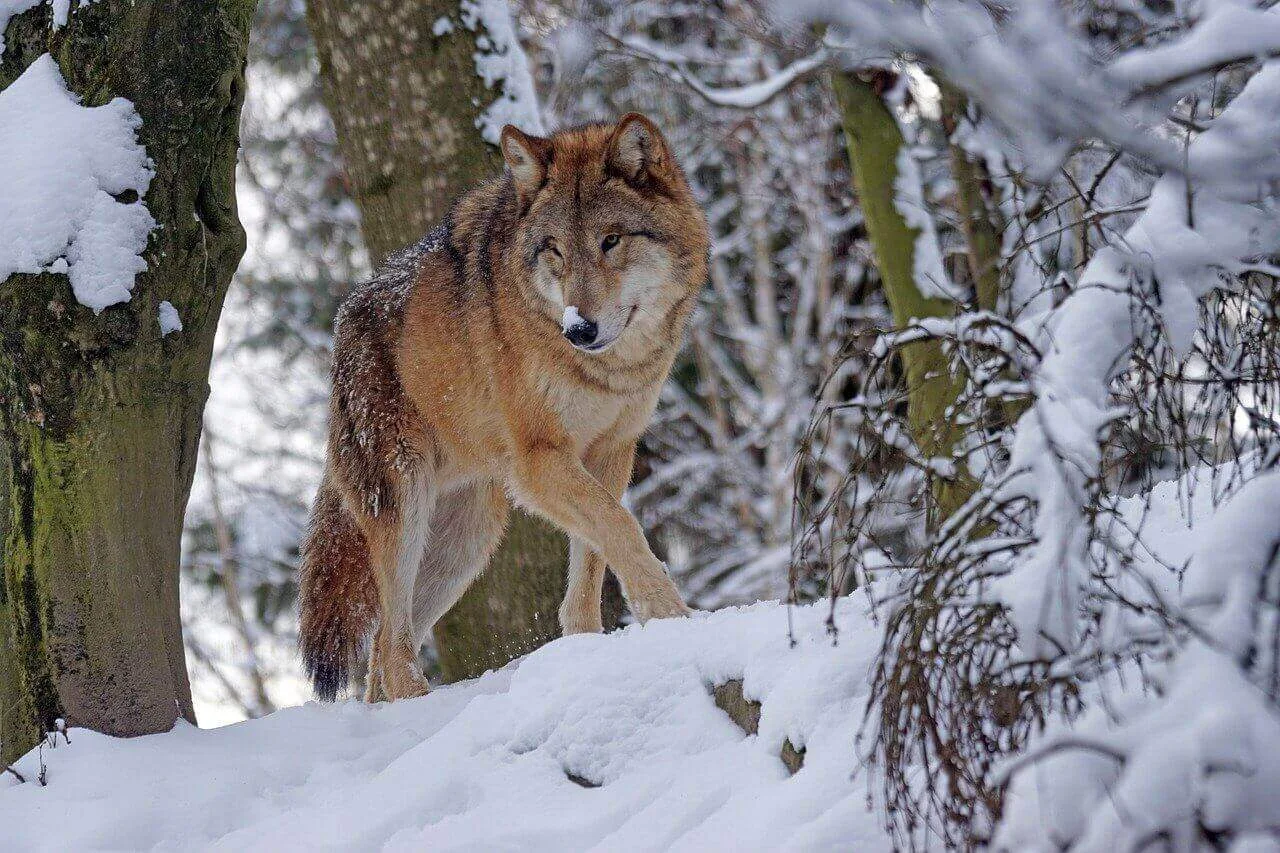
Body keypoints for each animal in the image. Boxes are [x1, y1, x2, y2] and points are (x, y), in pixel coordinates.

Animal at [298, 114, 711, 702]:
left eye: (611, 241)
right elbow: (623, 529)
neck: (608, 371)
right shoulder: (539, 462)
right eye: (555, 249)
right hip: (405, 510)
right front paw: (672, 617)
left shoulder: (611, 452)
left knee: (381, 651)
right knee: (391, 648)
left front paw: (588, 648)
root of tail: (341, 327)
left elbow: (593, 559)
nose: (579, 329)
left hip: (467, 541)